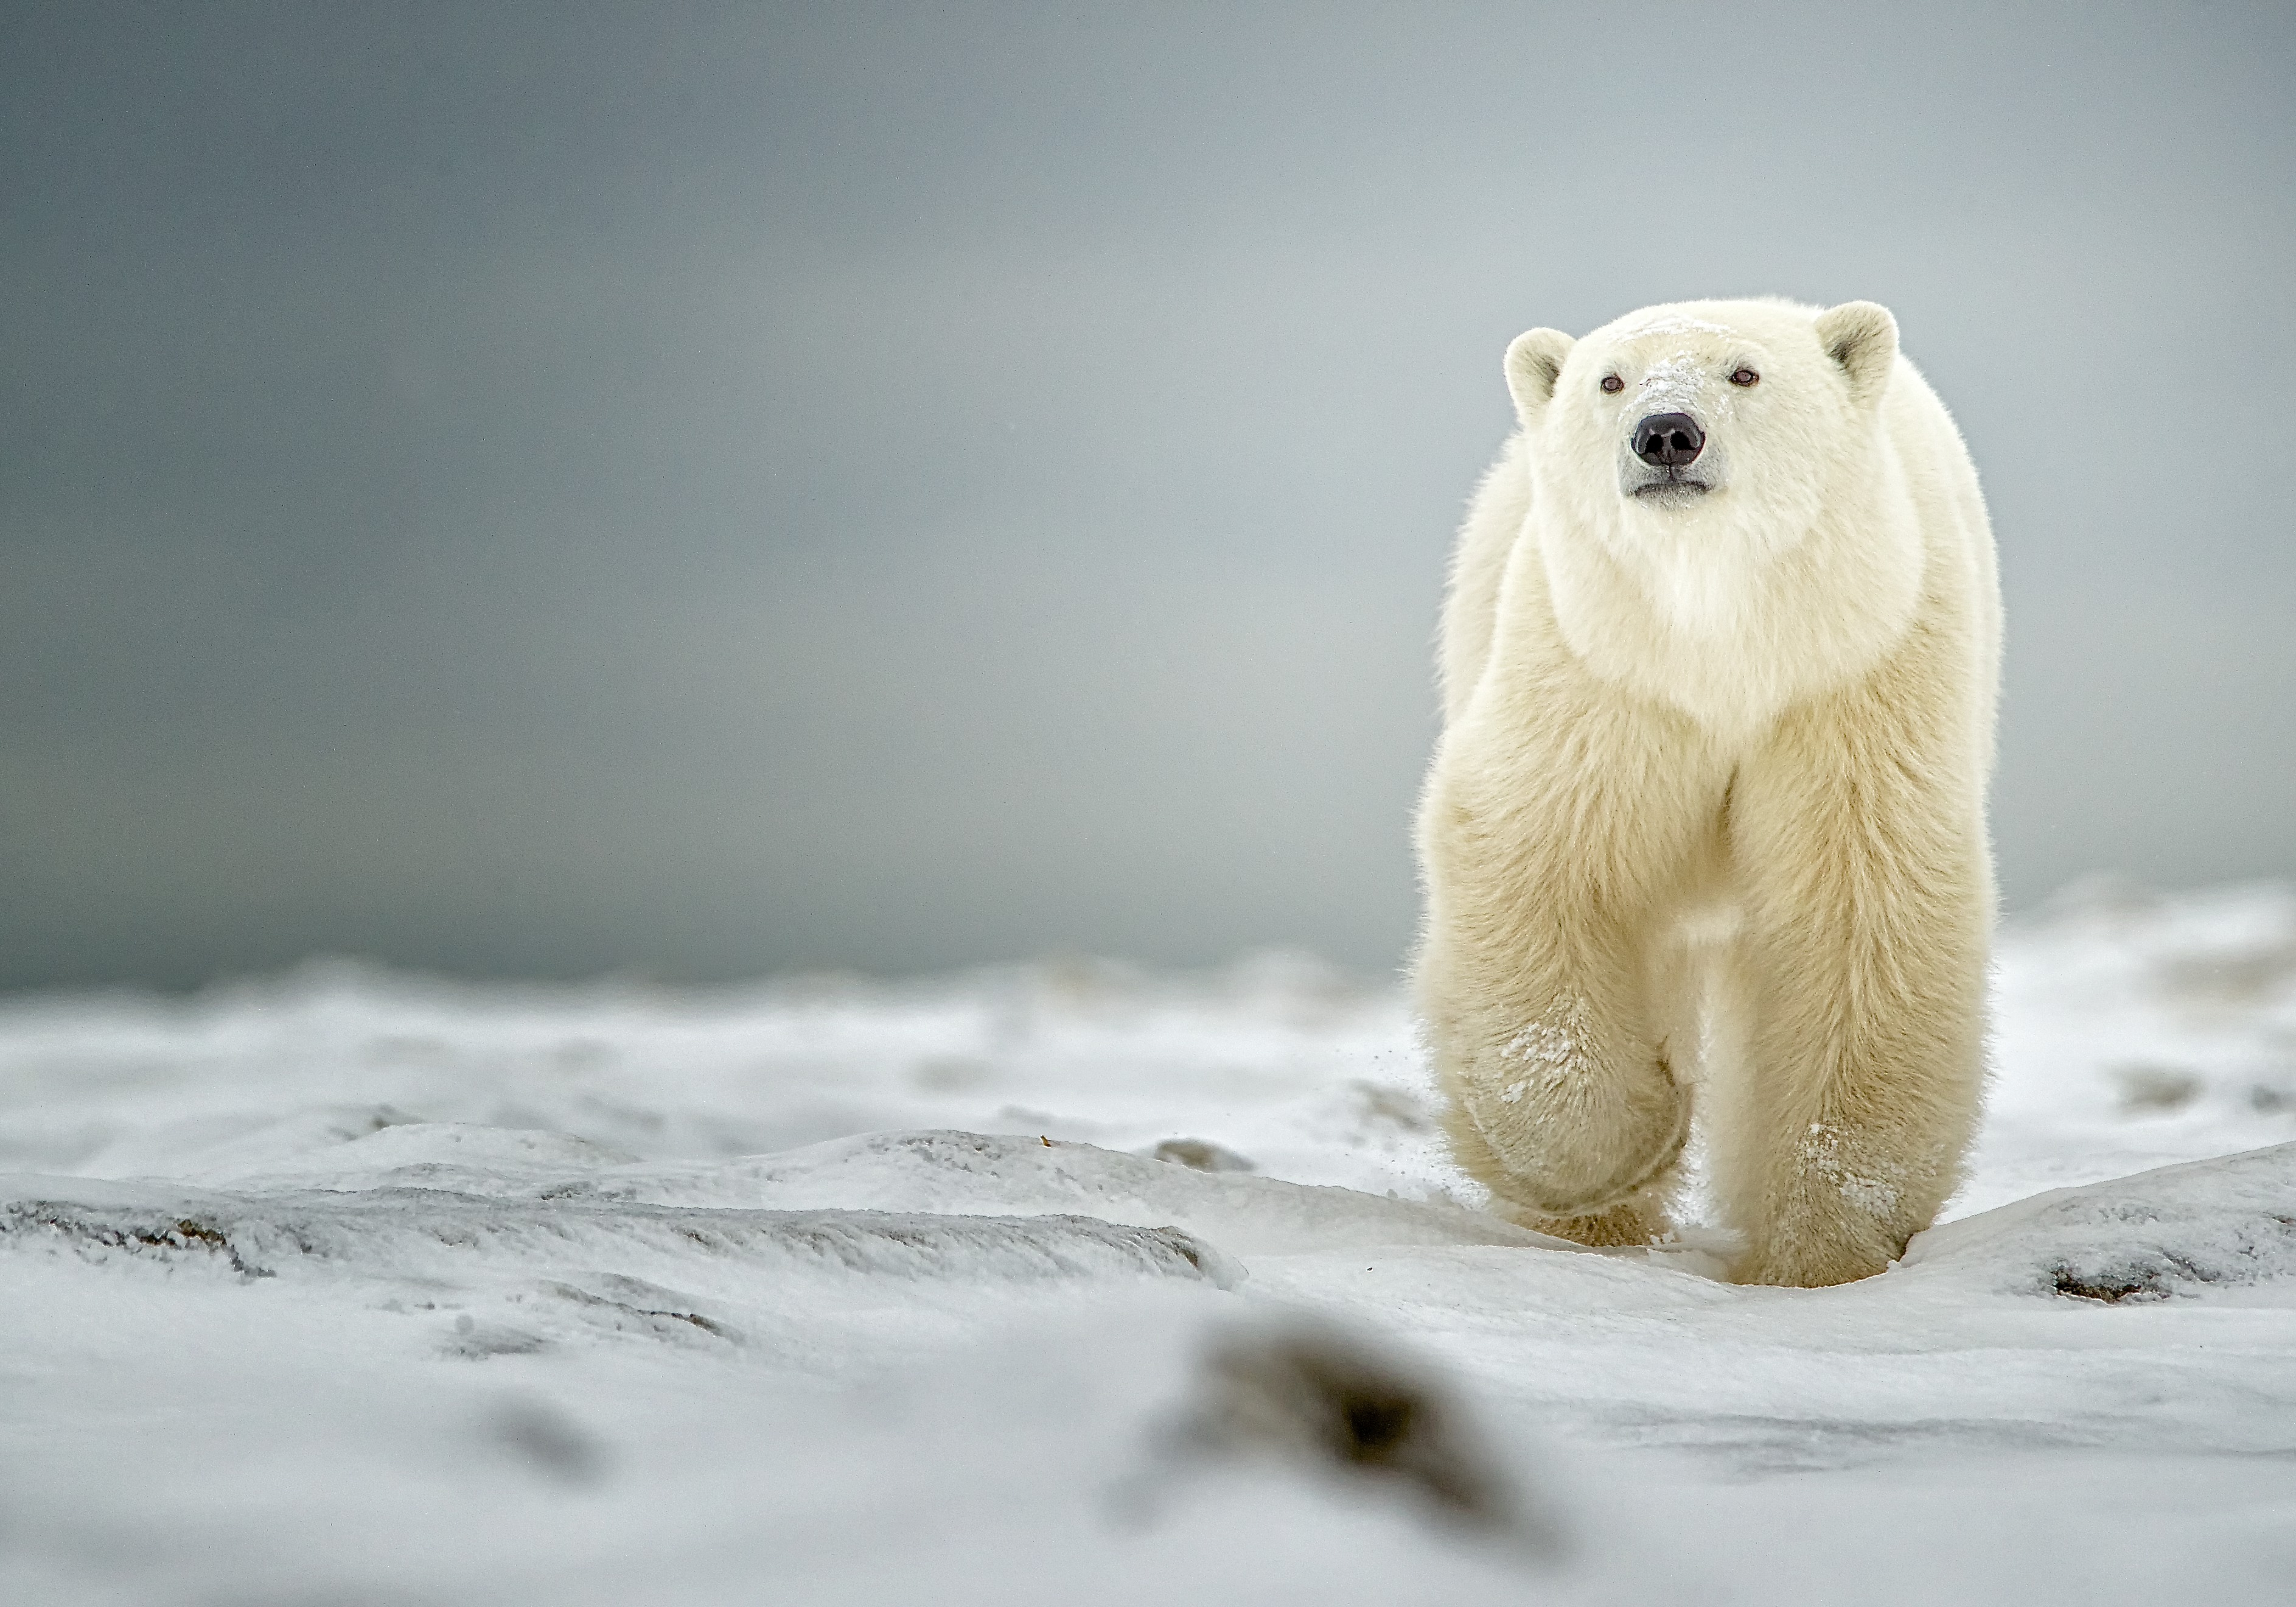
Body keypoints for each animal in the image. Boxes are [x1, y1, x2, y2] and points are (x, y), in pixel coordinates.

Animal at [1412, 298, 2000, 1288]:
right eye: (1609, 380)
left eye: (1744, 373)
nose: (1665, 434)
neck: (1724, 636)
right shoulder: (1604, 676)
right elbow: (1538, 858)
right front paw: (1624, 1150)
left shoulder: (1854, 679)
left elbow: (1861, 920)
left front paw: (1820, 1248)